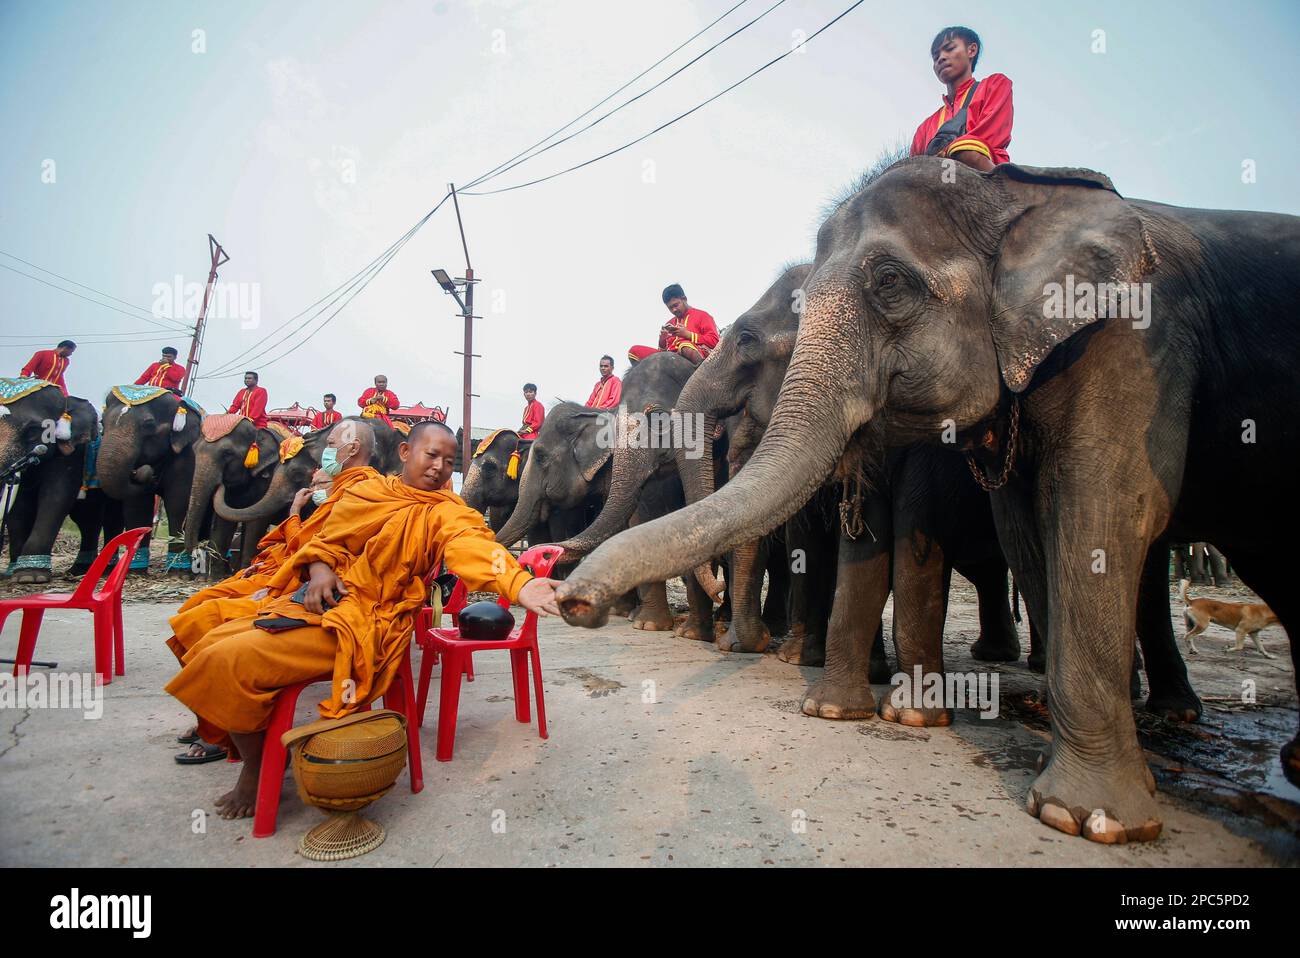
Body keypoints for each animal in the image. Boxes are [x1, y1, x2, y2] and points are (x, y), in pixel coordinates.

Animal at [0, 384, 106, 583]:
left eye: (33, 432)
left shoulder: (72, 454)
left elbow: (55, 498)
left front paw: (30, 576)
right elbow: (18, 508)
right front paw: (14, 572)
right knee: (87, 520)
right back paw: (78, 570)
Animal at [97, 387, 202, 574]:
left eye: (148, 424)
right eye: (102, 421)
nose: (149, 476)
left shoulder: (186, 456)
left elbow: (177, 501)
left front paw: (179, 571)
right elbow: (138, 506)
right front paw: (135, 571)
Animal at [558, 157, 1298, 843]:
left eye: (889, 284)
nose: (570, 599)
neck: (1012, 195)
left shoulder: (1134, 341)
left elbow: (1098, 511)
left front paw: (1080, 816)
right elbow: (947, 531)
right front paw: (835, 709)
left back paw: (1163, 714)